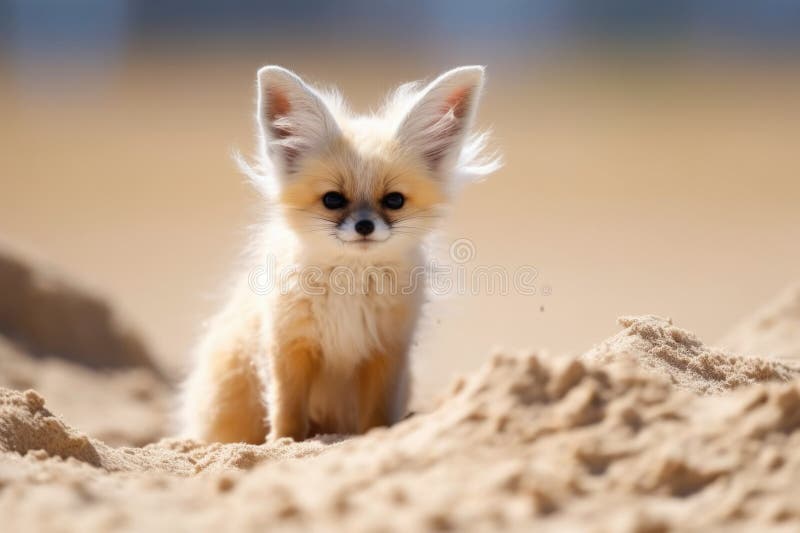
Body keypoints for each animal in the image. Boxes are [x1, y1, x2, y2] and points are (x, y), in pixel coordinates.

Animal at [180, 65, 500, 443]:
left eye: (394, 200)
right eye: (333, 199)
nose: (364, 226)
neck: (350, 285)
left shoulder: (387, 350)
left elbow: (377, 415)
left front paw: (376, 438)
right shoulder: (289, 343)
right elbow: (287, 411)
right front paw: (284, 442)